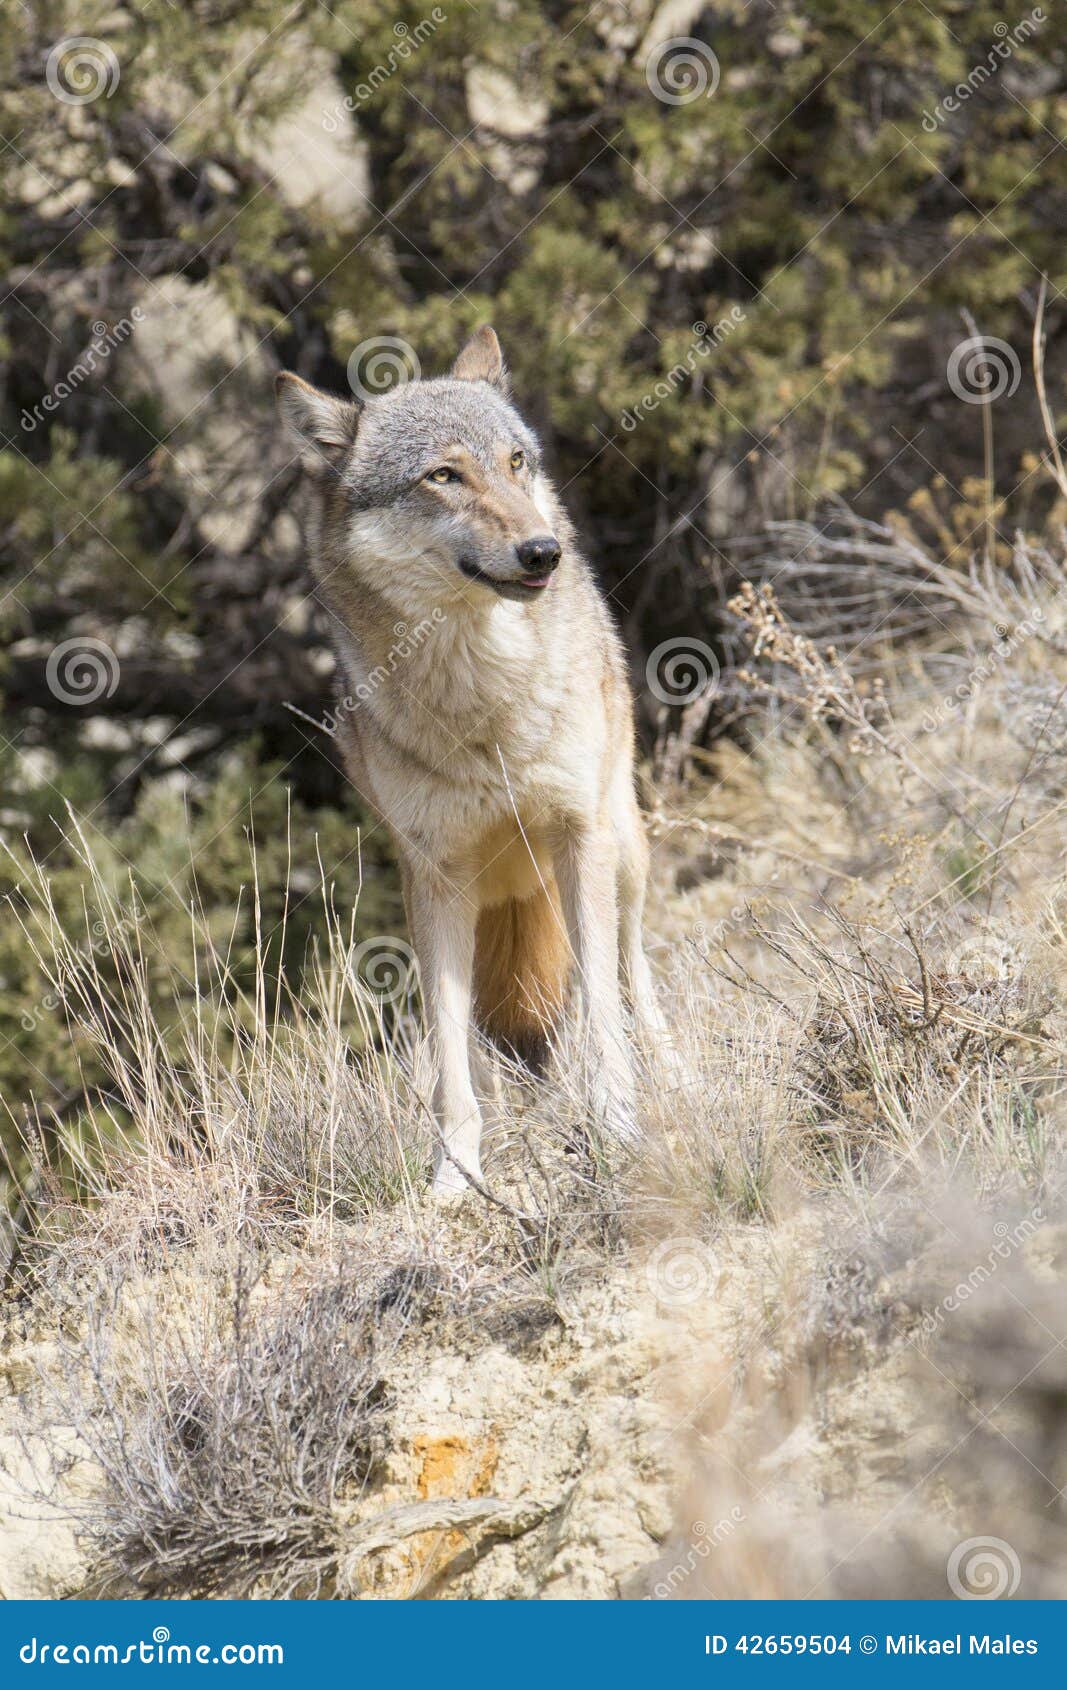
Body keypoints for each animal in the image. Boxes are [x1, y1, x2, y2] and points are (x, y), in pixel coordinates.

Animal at [276, 326, 669, 1193]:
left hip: (623, 851)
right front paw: (454, 1180)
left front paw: (618, 1130)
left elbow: (601, 1016)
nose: (542, 551)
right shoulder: (436, 877)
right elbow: (449, 1063)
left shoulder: (578, 838)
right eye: (443, 475)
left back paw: (676, 1077)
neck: (482, 702)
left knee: (635, 983)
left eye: (515, 461)